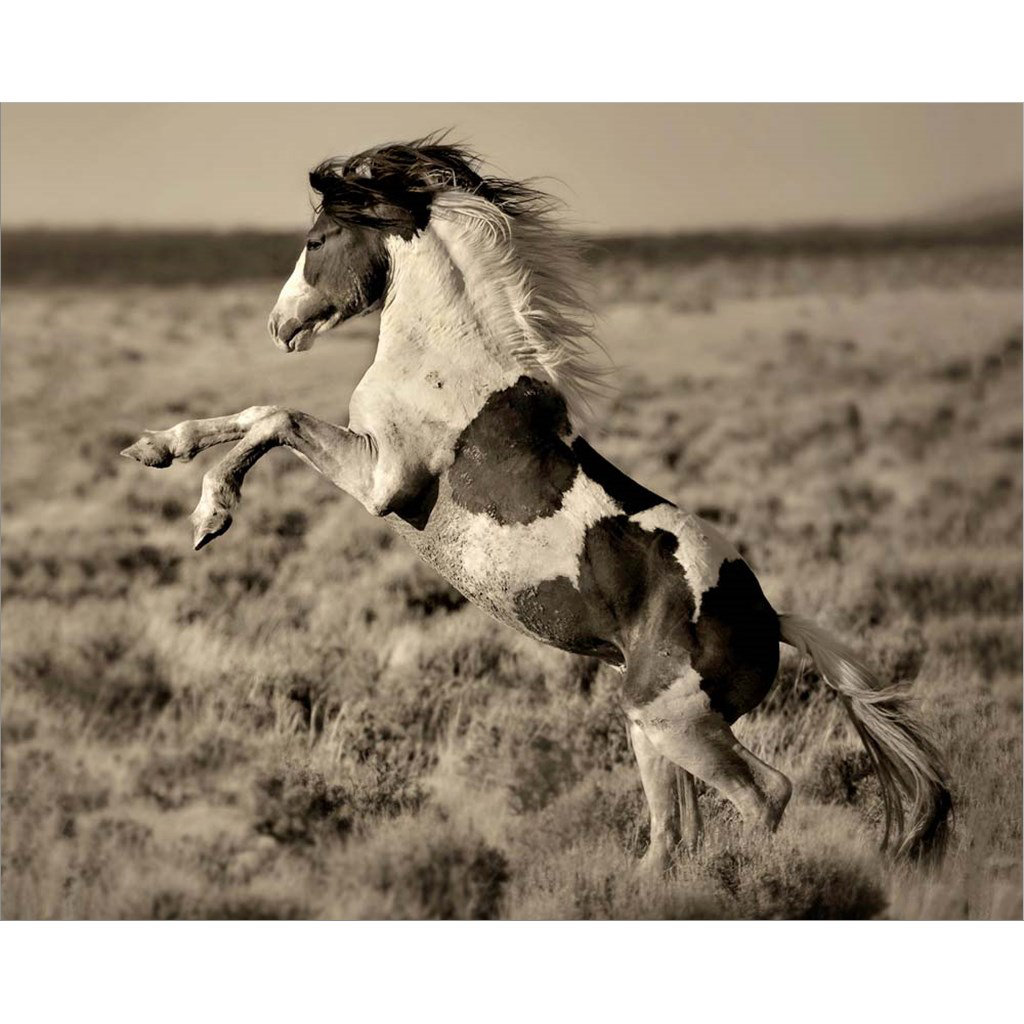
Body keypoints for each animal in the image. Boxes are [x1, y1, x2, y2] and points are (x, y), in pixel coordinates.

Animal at [122, 137, 952, 871]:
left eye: (318, 237)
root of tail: (771, 620)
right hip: (648, 728)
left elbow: (274, 418)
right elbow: (253, 414)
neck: (448, 358)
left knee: (766, 796)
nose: (281, 325)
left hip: (678, 722)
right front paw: (156, 447)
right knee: (672, 837)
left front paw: (211, 514)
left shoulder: (382, 478)